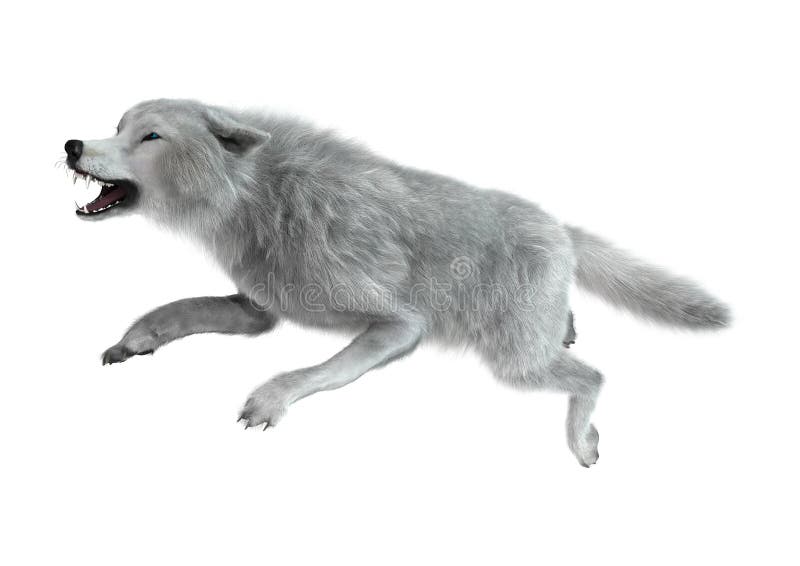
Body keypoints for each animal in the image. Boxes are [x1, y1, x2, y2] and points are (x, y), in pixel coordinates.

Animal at [64, 99, 730, 466]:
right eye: (116, 125)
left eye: (149, 136)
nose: (71, 143)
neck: (254, 199)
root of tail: (559, 226)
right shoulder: (258, 310)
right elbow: (176, 309)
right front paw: (135, 340)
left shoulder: (399, 325)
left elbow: (319, 372)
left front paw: (271, 399)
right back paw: (567, 328)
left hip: (513, 362)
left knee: (594, 377)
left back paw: (582, 441)